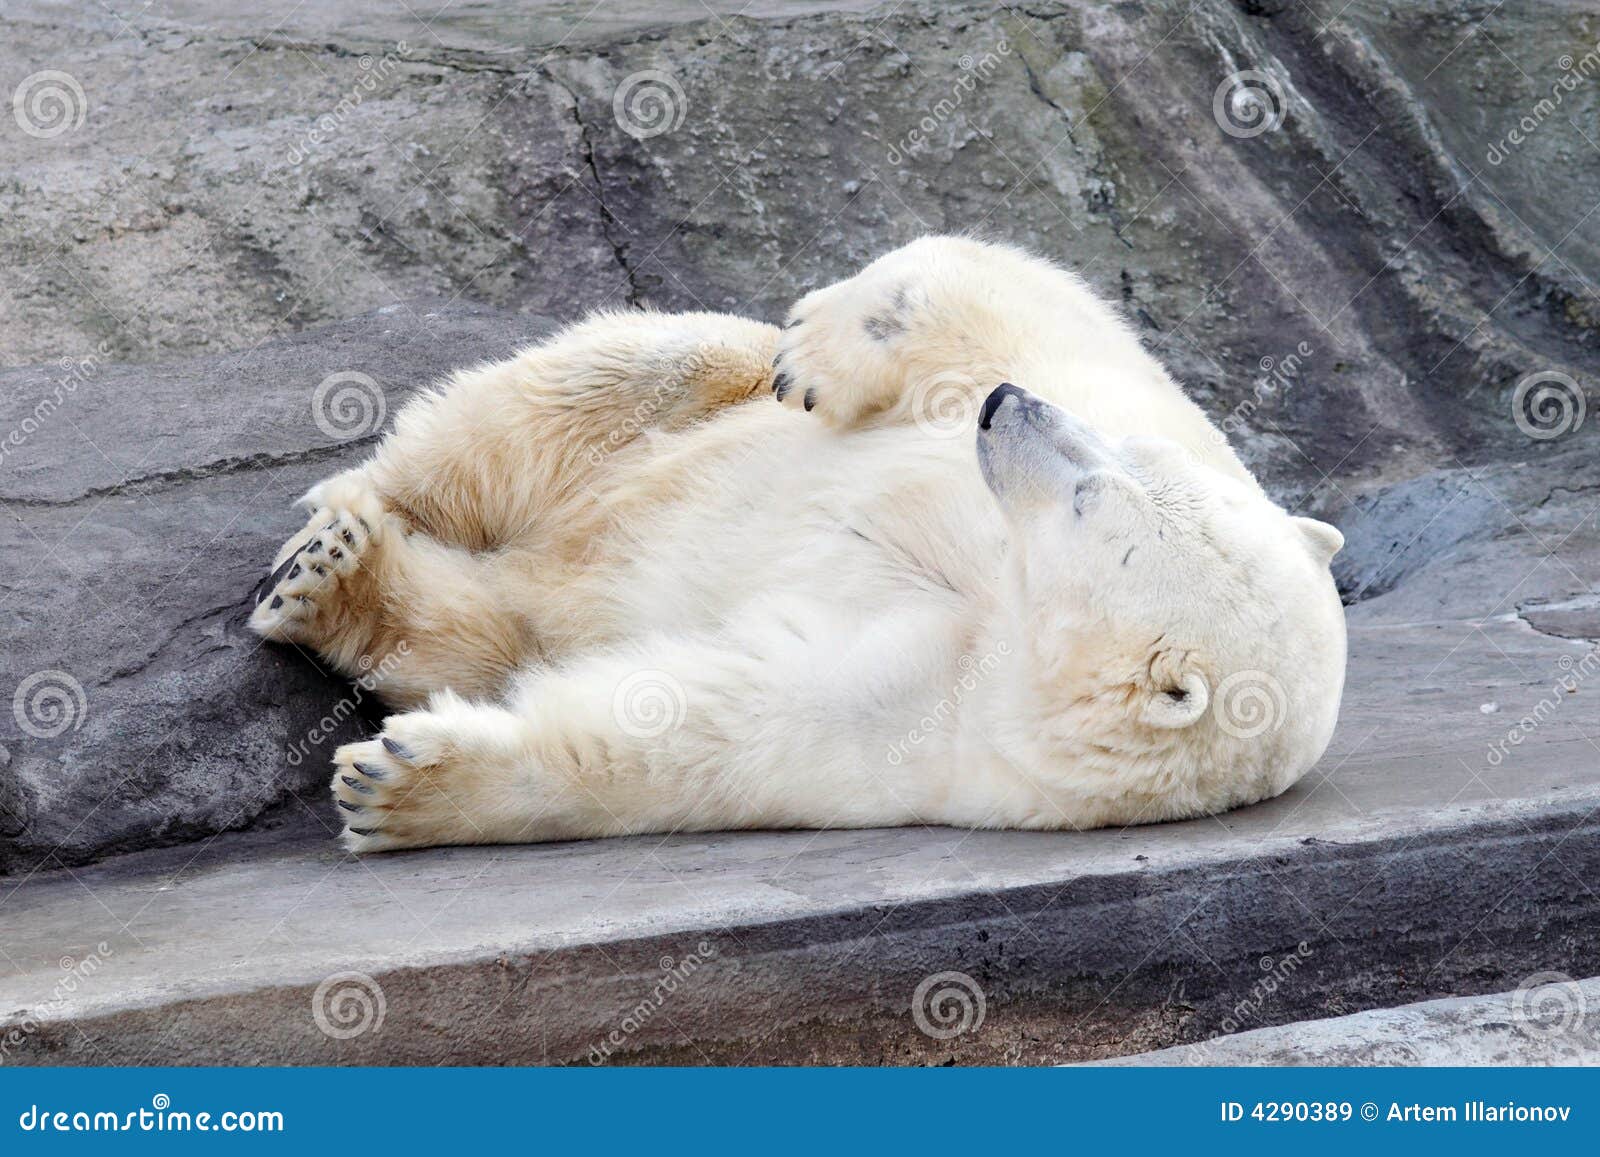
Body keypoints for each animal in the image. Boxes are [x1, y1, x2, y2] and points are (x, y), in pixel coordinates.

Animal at [249, 236, 1348, 852]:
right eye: (1122, 455)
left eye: (1087, 501)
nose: (1008, 409)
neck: (1004, 605)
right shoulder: (1071, 413)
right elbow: (1009, 300)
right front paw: (823, 344)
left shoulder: (934, 725)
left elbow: (698, 726)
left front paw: (398, 785)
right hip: (652, 421)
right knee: (630, 373)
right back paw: (350, 514)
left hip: (540, 591)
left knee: (498, 627)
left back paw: (338, 582)